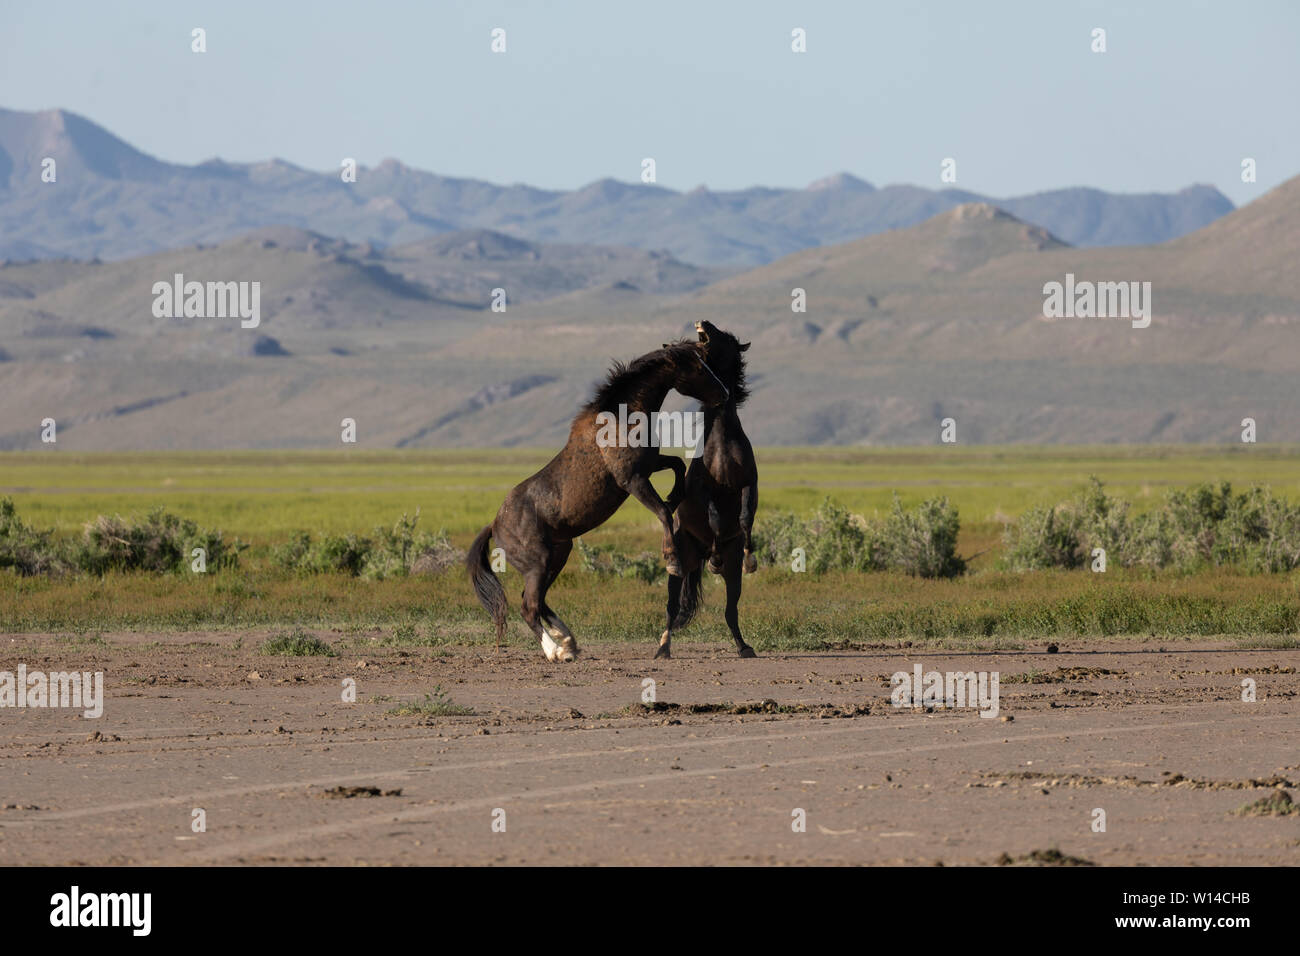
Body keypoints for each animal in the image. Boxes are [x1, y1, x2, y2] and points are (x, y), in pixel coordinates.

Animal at [467, 339, 730, 661]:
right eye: (697, 367)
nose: (724, 393)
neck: (624, 417)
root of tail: (495, 525)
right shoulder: (632, 480)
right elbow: (663, 514)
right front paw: (672, 562)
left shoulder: (649, 465)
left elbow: (677, 465)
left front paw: (675, 496)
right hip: (537, 562)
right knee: (529, 607)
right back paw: (556, 651)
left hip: (558, 554)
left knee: (537, 601)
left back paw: (569, 642)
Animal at [657, 320, 758, 660]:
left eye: (726, 336)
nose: (703, 322)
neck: (722, 445)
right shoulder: (702, 489)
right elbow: (714, 515)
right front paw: (715, 551)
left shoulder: (748, 484)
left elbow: (744, 517)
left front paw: (751, 557)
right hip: (679, 567)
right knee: (671, 607)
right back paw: (663, 648)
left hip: (731, 575)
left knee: (730, 609)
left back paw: (744, 647)